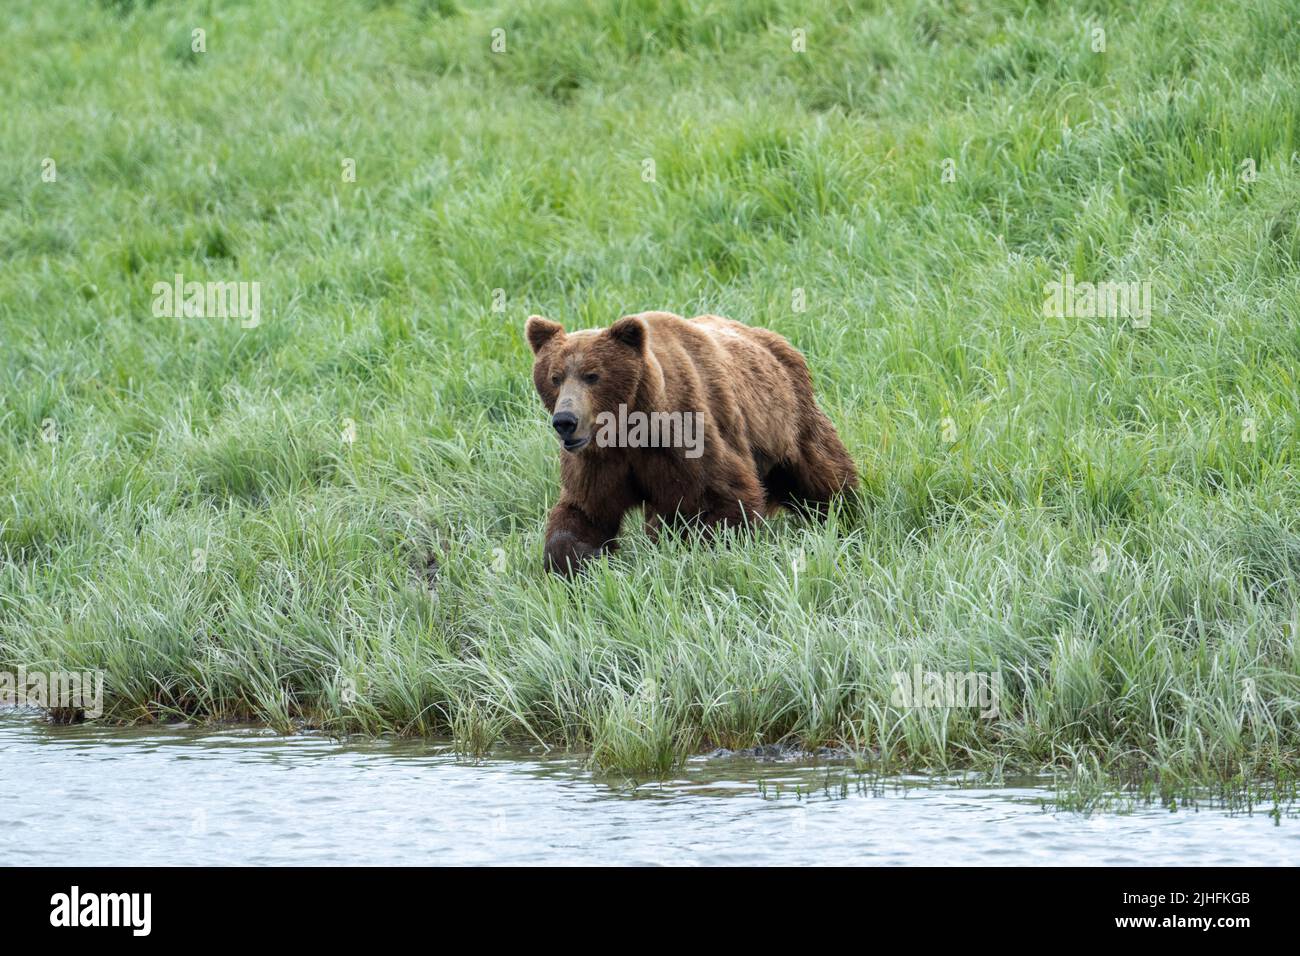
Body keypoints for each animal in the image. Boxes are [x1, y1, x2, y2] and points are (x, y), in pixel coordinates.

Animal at [525, 311, 859, 575]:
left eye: (592, 375)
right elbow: (586, 512)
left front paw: (709, 551)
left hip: (786, 421)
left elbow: (723, 495)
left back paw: (846, 514)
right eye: (555, 377)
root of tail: (771, 337)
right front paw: (574, 565)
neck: (631, 429)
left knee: (820, 473)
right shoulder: (600, 461)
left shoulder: (688, 437)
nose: (565, 421)